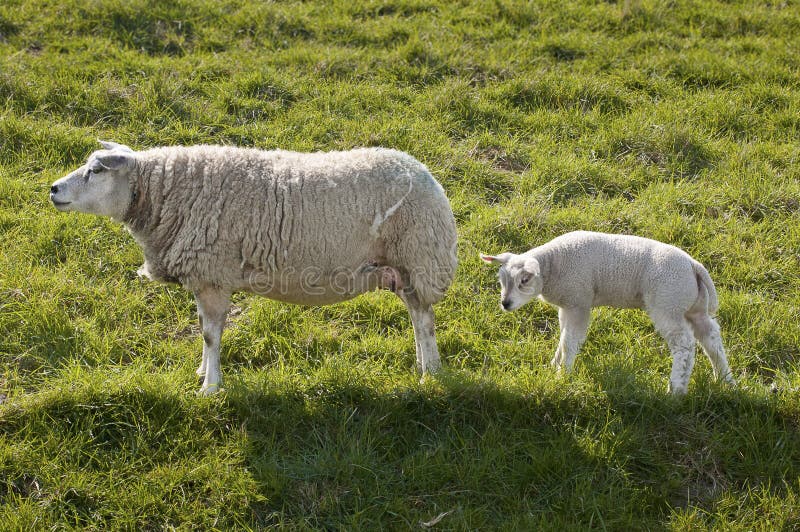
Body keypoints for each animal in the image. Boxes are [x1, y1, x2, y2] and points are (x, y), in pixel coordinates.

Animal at [50, 141, 458, 394]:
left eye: (97, 170)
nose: (53, 189)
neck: (165, 198)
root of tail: (429, 178)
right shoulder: (204, 276)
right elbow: (204, 328)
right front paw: (203, 372)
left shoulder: (213, 274)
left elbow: (210, 334)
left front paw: (210, 387)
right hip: (401, 269)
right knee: (418, 318)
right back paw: (423, 367)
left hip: (418, 259)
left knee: (425, 321)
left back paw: (430, 375)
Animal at [481, 231, 735, 395]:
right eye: (501, 280)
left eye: (524, 280)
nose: (505, 303)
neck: (554, 265)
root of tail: (694, 266)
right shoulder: (568, 304)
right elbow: (563, 338)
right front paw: (555, 364)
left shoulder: (579, 302)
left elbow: (571, 341)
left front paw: (563, 376)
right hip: (692, 305)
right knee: (711, 336)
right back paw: (725, 380)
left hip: (667, 302)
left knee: (684, 344)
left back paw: (676, 390)